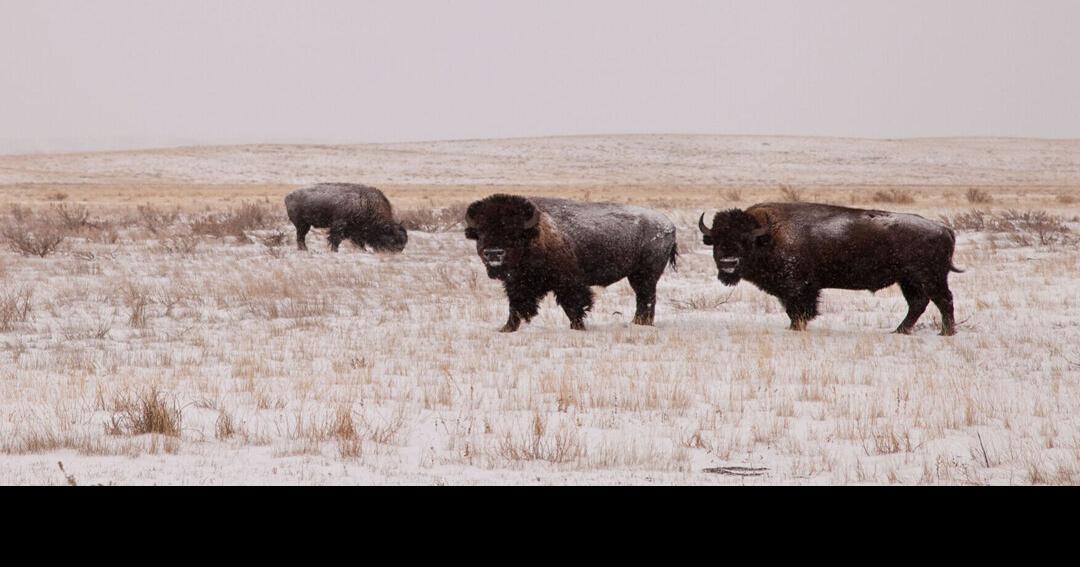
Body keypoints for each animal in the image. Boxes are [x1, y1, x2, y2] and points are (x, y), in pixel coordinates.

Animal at [466, 195, 678, 332]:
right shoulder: (517, 283)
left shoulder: (568, 282)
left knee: (646, 297)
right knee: (644, 298)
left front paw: (578, 327)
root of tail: (669, 225)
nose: (493, 254)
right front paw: (506, 328)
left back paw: (641, 323)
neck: (536, 234)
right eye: (481, 233)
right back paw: (639, 323)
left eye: (513, 233)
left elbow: (573, 305)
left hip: (645, 276)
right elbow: (515, 305)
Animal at [699, 202, 962, 336]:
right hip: (908, 280)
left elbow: (798, 311)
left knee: (943, 300)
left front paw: (795, 328)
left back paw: (945, 333)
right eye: (718, 240)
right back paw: (899, 331)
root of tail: (944, 229)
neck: (768, 235)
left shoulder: (799, 288)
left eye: (745, 240)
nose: (728, 263)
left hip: (929, 278)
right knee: (919, 303)